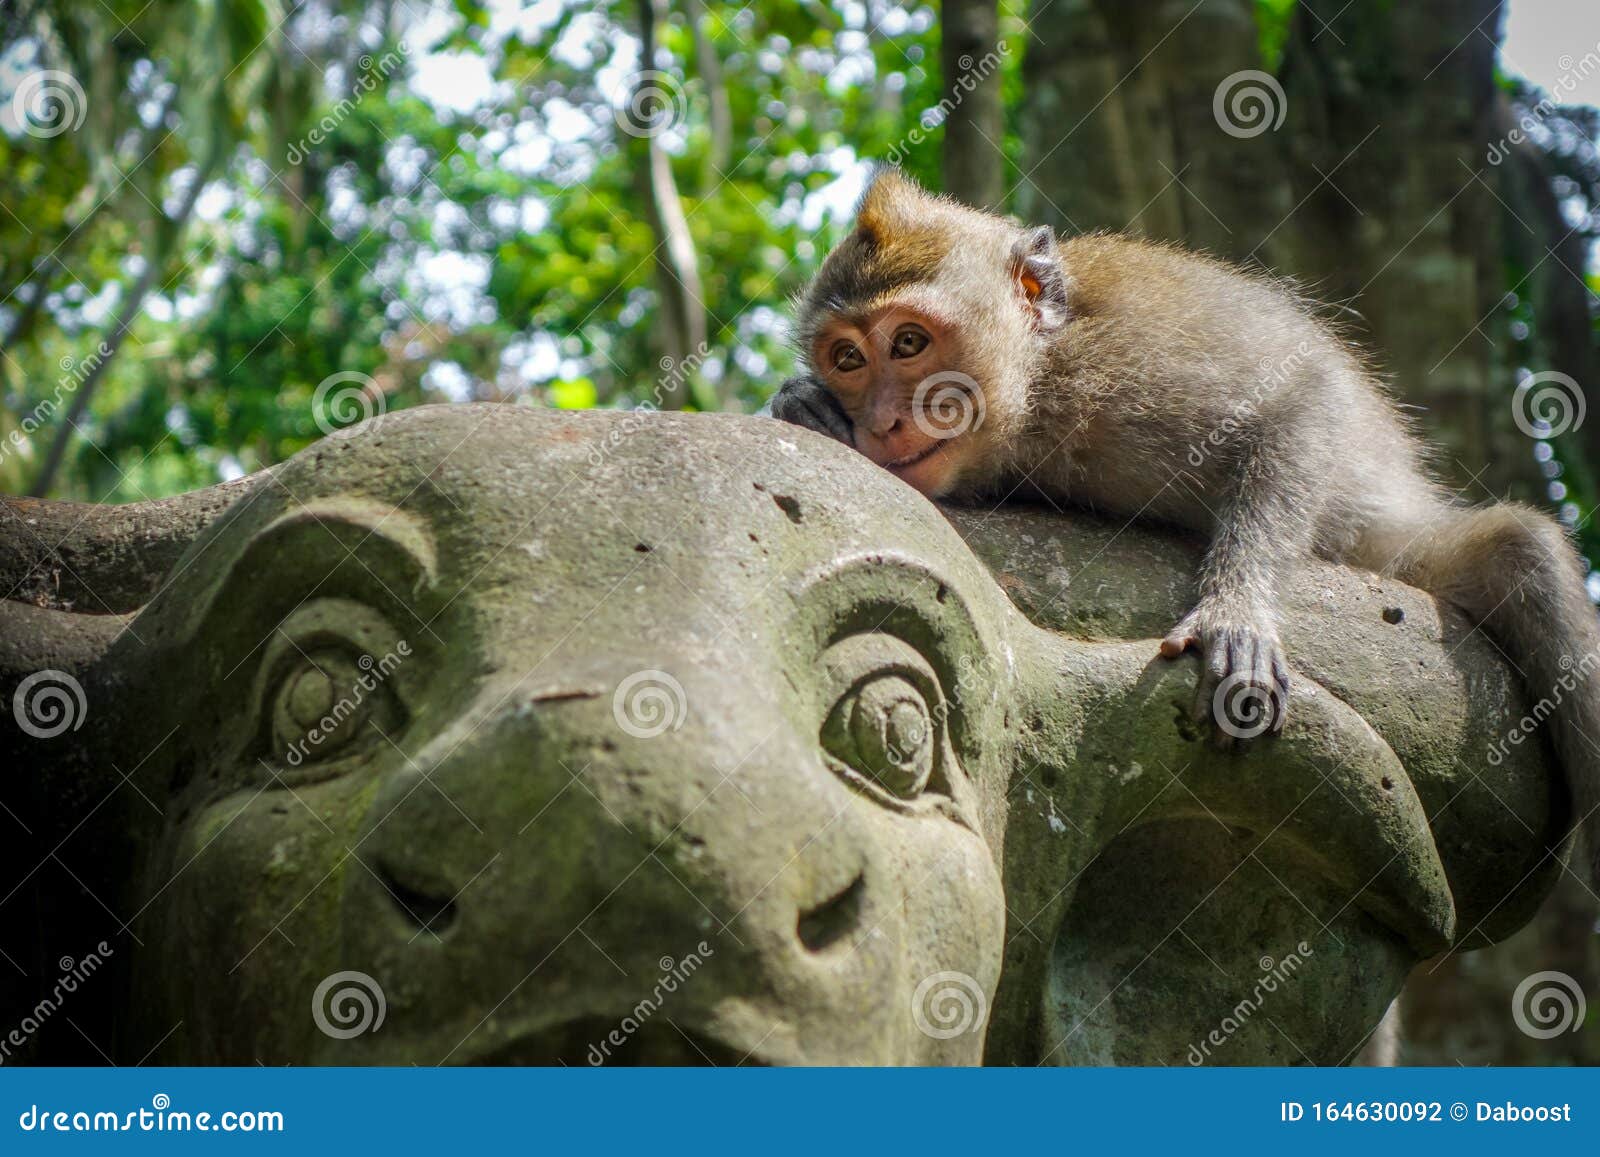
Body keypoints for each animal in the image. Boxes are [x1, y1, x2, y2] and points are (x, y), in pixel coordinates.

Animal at [771, 167, 1600, 887]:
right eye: (847, 358)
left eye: (909, 343)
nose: (880, 421)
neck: (1037, 384)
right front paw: (806, 409)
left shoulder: (1131, 363)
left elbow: (1301, 400)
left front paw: (1238, 611)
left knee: (1523, 557)